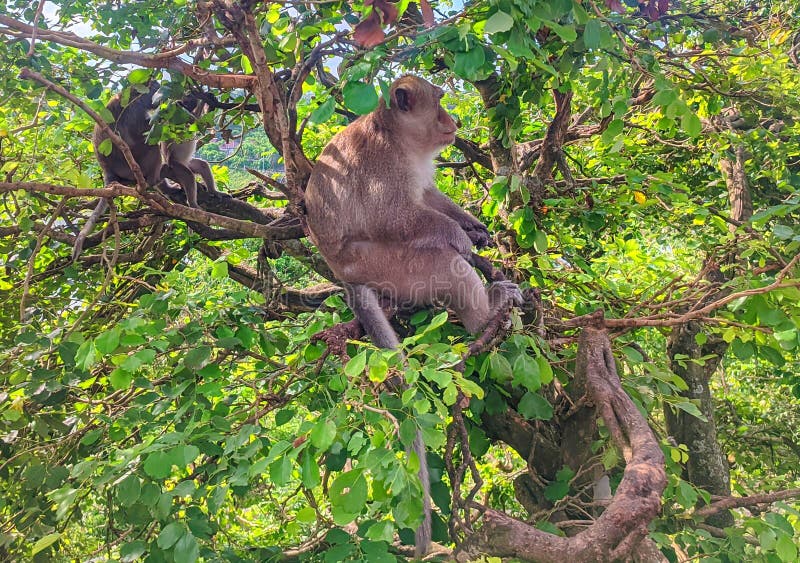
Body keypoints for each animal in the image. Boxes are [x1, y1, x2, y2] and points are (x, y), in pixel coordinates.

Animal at [72, 81, 218, 259]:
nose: (163, 94)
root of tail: (107, 169)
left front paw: (208, 101)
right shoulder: (139, 109)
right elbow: (155, 130)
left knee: (199, 165)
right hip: (140, 166)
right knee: (157, 150)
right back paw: (172, 190)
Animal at [304, 75, 523, 556]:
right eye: (438, 103)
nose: (452, 120)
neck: (400, 138)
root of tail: (344, 277)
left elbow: (429, 196)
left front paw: (473, 225)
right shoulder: (384, 168)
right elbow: (399, 216)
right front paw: (460, 235)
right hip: (389, 264)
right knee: (443, 263)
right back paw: (486, 315)